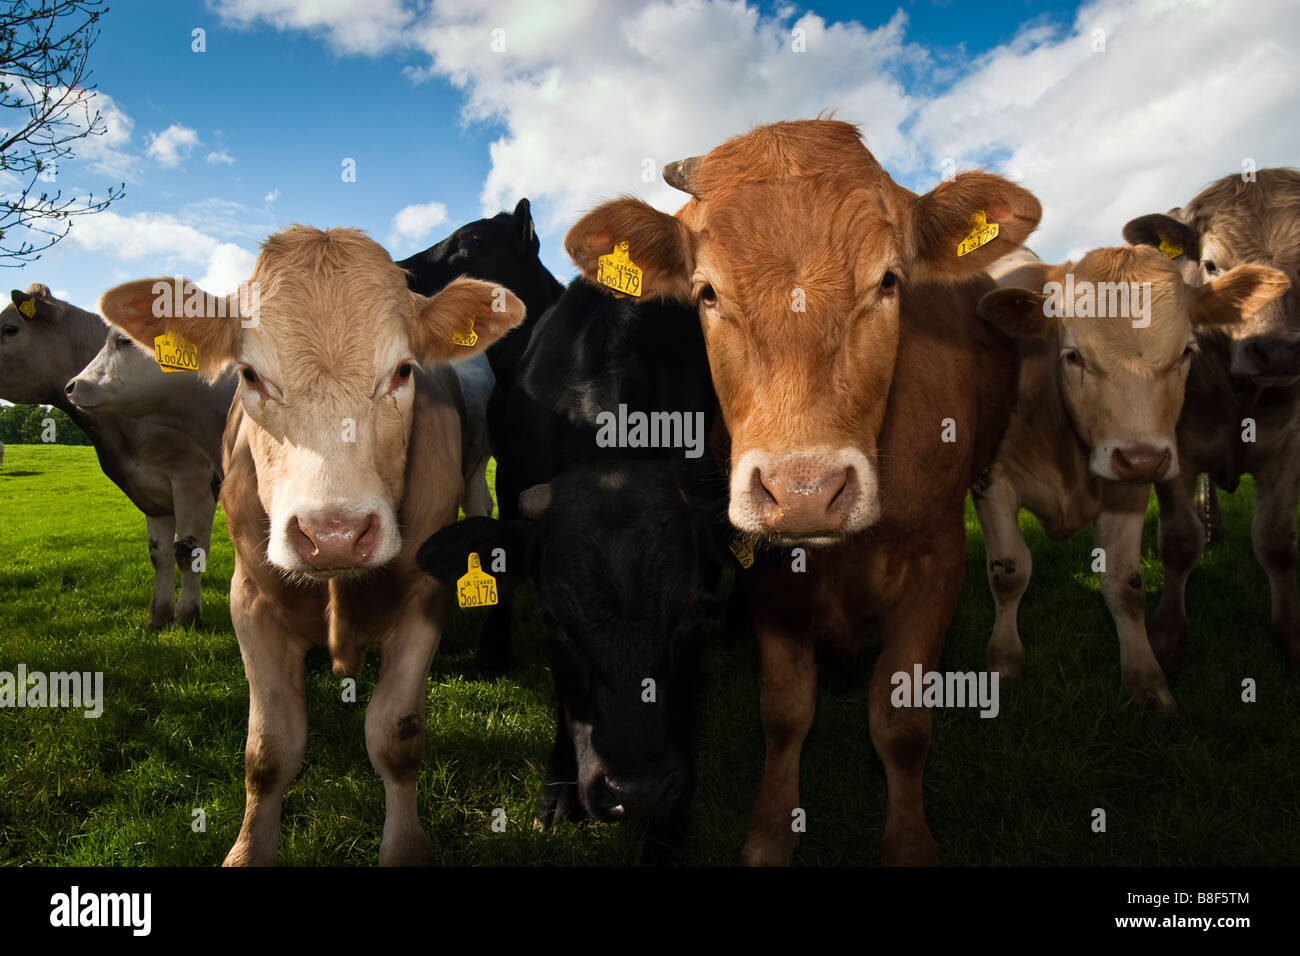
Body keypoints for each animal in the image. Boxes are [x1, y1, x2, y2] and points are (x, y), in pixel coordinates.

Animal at [0, 283, 220, 627]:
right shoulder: (150, 492)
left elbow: (189, 551)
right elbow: (159, 554)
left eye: (9, 329)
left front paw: (187, 617)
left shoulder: (192, 479)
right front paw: (159, 617)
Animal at [97, 227, 525, 865]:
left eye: (404, 371)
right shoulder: (250, 601)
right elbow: (270, 750)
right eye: (249, 375)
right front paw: (247, 849)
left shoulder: (424, 600)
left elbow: (395, 736)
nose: (334, 534)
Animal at [564, 119, 1042, 864]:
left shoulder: (937, 559)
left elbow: (901, 722)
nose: (805, 492)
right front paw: (768, 836)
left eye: (889, 280)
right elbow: (785, 712)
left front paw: (909, 842)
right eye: (707, 292)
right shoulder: (767, 571)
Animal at [974, 246, 1289, 713]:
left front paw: (1147, 681)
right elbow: (1009, 573)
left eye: (1186, 352)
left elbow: (1126, 586)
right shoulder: (991, 482)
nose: (1143, 459)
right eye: (1073, 355)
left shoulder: (1128, 491)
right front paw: (1004, 664)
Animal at [1124, 167, 1300, 672]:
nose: (1278, 351)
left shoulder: (1289, 446)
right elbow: (1179, 540)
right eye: (1212, 266)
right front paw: (1166, 634)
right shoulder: (1173, 447)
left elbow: (1277, 540)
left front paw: (1290, 634)